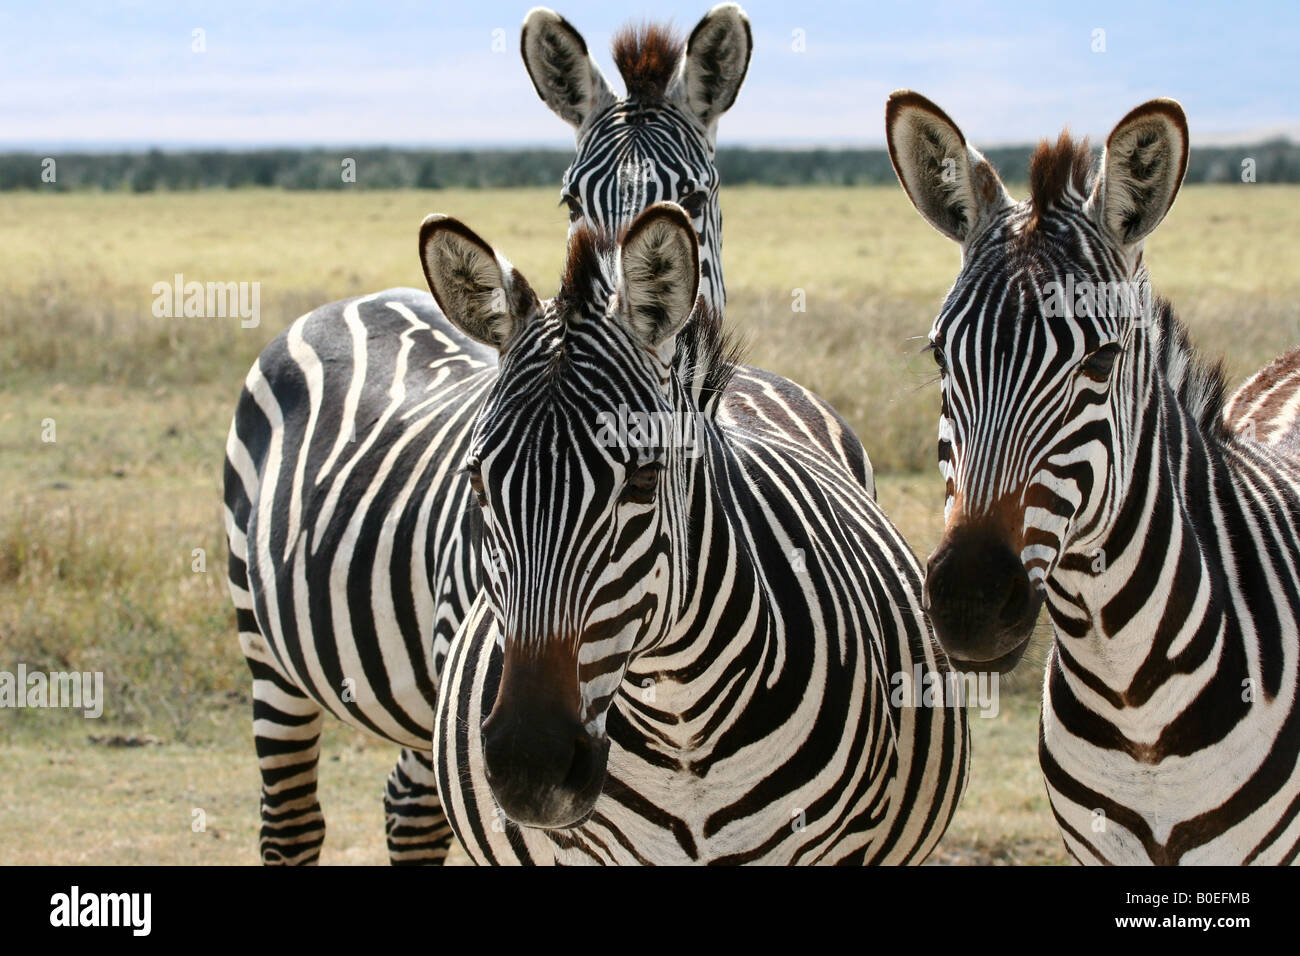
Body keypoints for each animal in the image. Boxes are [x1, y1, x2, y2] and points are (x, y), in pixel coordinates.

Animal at [223, 6, 756, 864]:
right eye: (571, 201)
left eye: (692, 195)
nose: (614, 320)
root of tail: (359, 299)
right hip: (267, 646)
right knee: (292, 818)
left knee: (408, 806)